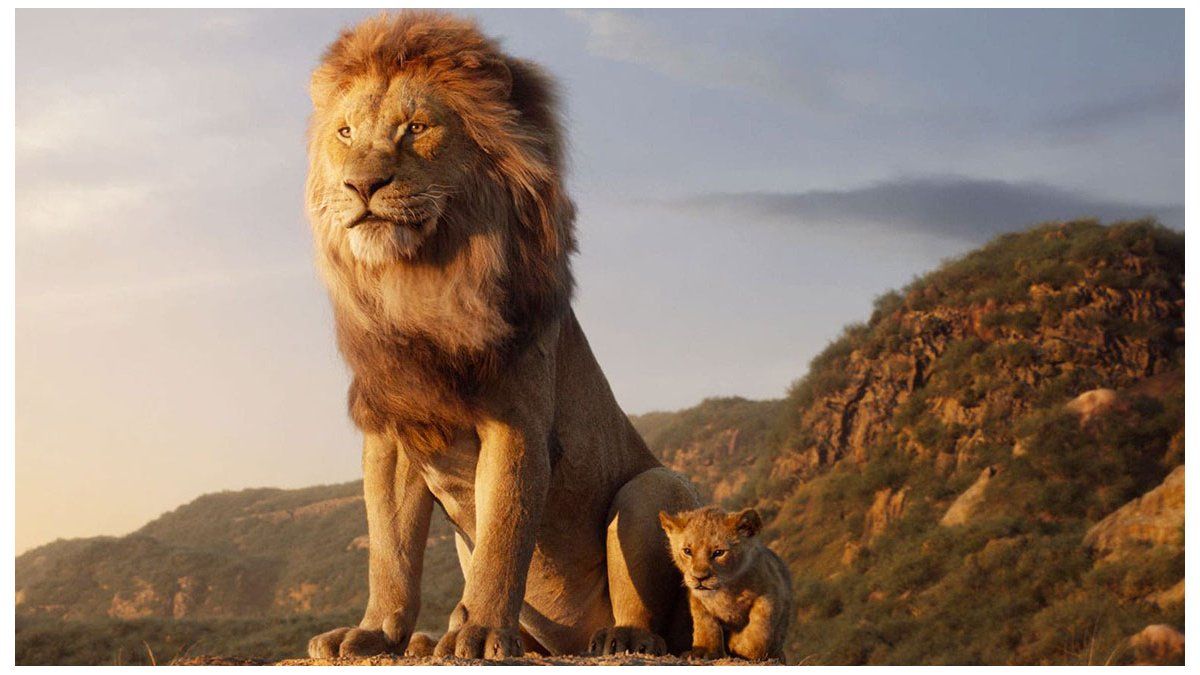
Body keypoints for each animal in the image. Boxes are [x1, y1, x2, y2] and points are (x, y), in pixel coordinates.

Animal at [303, 11, 699, 660]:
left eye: (416, 128)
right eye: (345, 132)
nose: (362, 185)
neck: (420, 283)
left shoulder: (517, 423)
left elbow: (503, 538)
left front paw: (483, 632)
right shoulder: (393, 432)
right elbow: (390, 551)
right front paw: (375, 632)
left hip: (653, 488)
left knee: (653, 616)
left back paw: (619, 636)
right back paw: (429, 640)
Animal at [659, 507, 792, 662]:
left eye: (718, 553)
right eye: (687, 551)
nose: (700, 578)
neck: (726, 590)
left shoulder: (771, 593)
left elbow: (759, 631)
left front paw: (738, 644)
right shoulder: (698, 600)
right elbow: (706, 625)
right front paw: (703, 652)